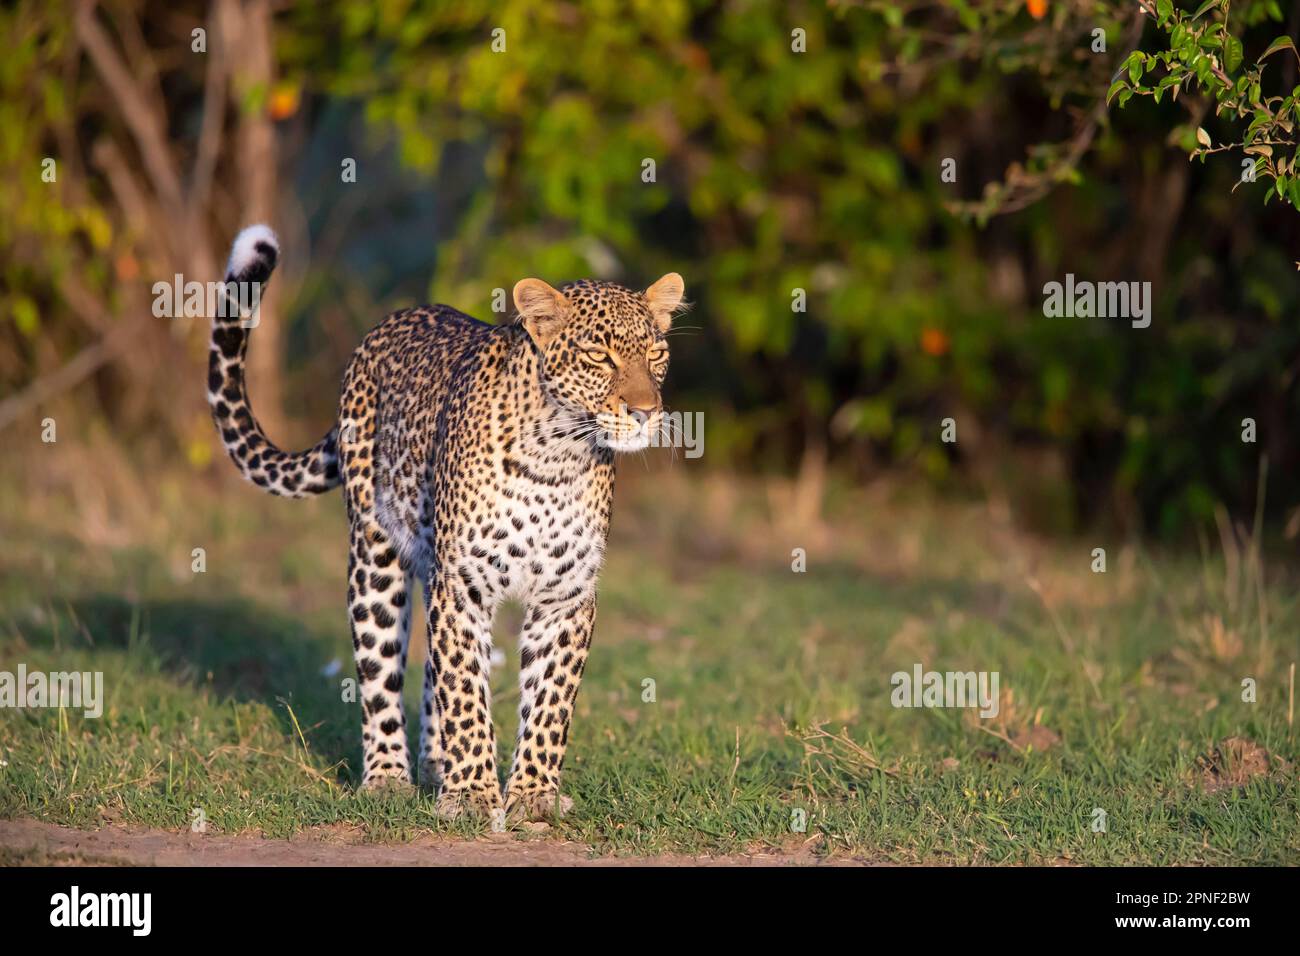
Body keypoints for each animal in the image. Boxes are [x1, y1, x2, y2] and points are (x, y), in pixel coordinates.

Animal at [207, 225, 684, 822]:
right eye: (599, 356)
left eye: (657, 353)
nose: (646, 411)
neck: (556, 458)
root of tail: (390, 322)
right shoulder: (463, 582)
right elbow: (465, 691)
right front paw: (476, 794)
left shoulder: (565, 594)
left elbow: (549, 700)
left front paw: (533, 794)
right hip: (375, 557)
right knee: (382, 671)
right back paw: (390, 777)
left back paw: (437, 767)